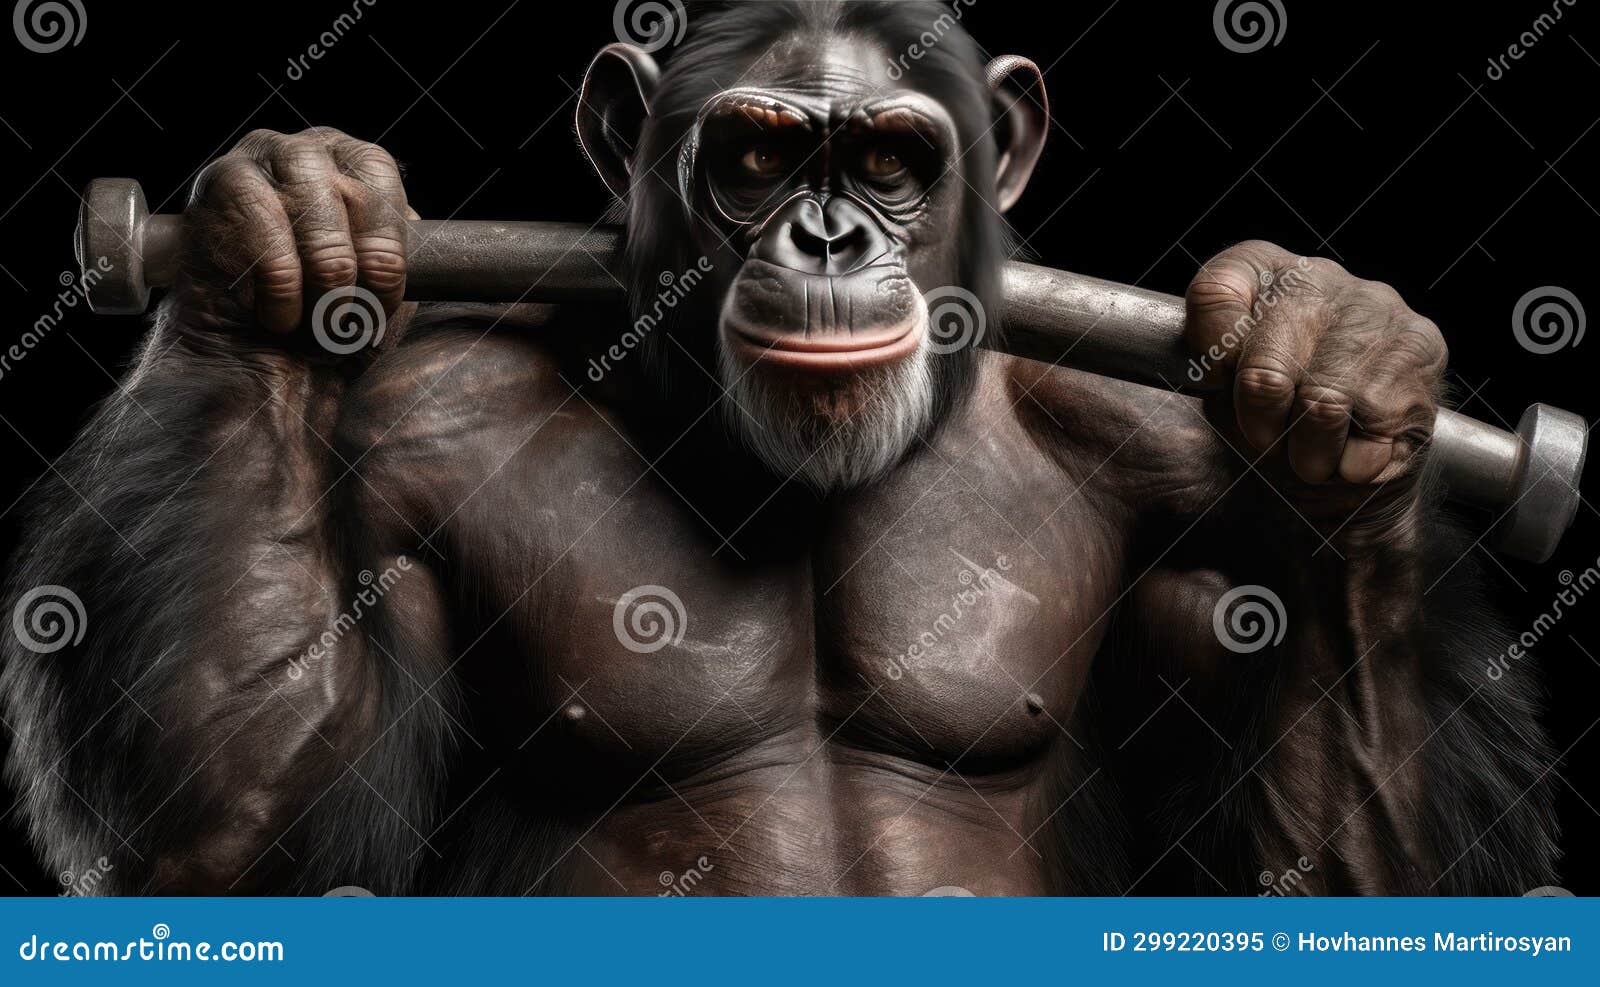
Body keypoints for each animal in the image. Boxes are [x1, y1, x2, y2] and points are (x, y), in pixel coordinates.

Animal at [1, 1, 1557, 895]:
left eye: (887, 161)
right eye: (755, 157)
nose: (827, 237)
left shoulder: (1184, 464)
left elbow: (1352, 874)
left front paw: (1345, 388)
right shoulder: (408, 429)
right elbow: (248, 827)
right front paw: (266, 238)